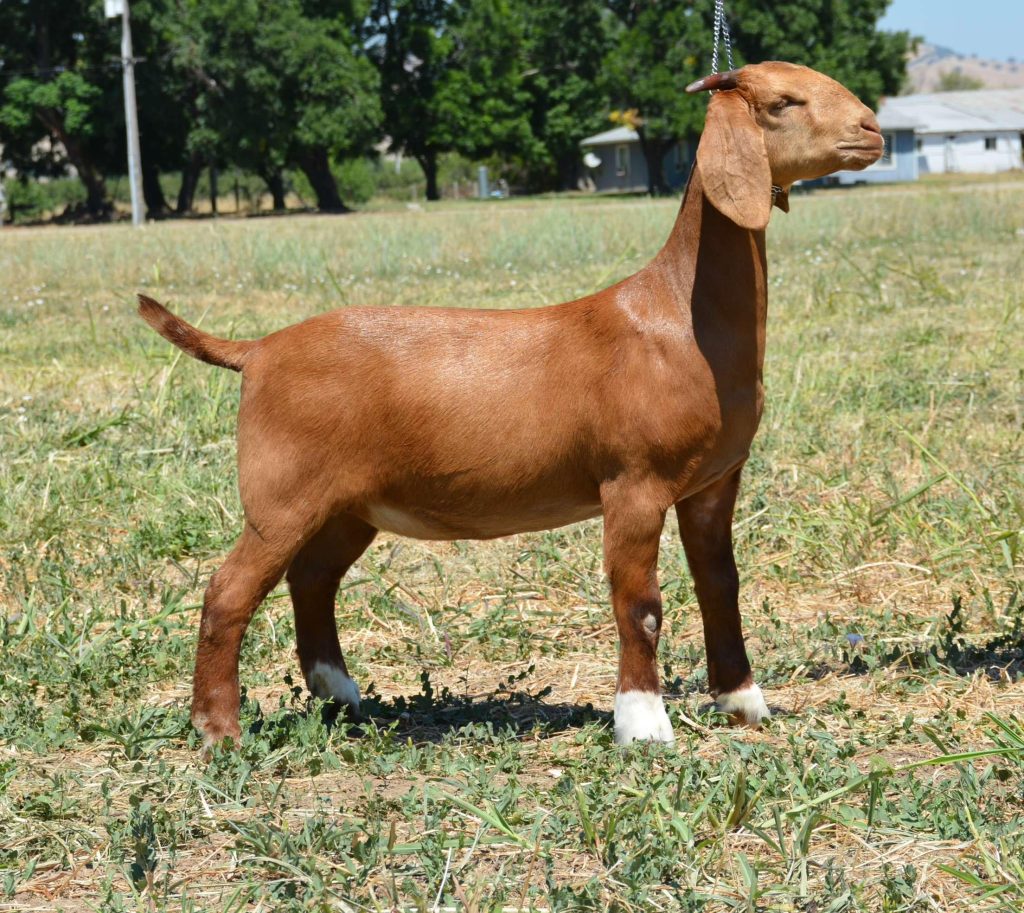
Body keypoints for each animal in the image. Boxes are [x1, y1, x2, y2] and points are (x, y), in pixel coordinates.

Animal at [138, 62, 882, 748]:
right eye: (783, 102)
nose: (872, 128)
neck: (678, 316)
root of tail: (257, 350)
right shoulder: (633, 482)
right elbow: (640, 602)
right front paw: (642, 724)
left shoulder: (713, 481)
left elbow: (720, 583)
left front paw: (743, 701)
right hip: (283, 494)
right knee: (228, 591)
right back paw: (217, 730)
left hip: (350, 501)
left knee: (313, 579)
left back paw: (340, 695)